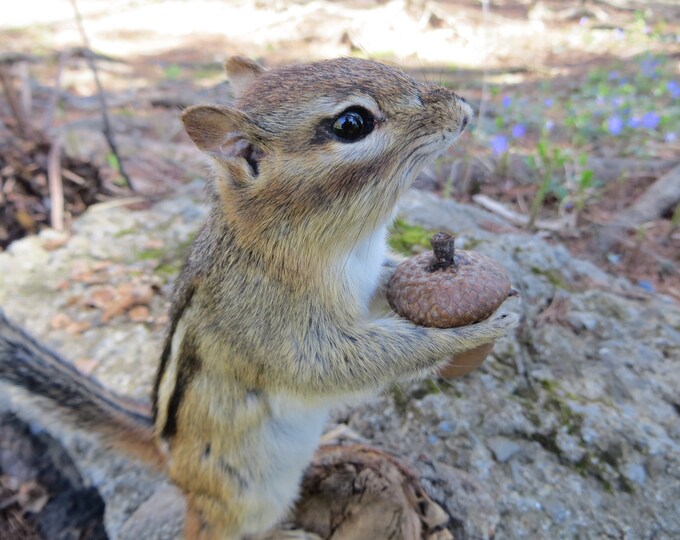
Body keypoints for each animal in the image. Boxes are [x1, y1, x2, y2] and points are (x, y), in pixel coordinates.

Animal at [0, 57, 518, 540]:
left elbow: (390, 286)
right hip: (248, 495)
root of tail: (172, 467)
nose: (464, 109)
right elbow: (331, 365)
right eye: (352, 123)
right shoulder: (275, 323)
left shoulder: (366, 280)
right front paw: (470, 333)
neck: (344, 242)